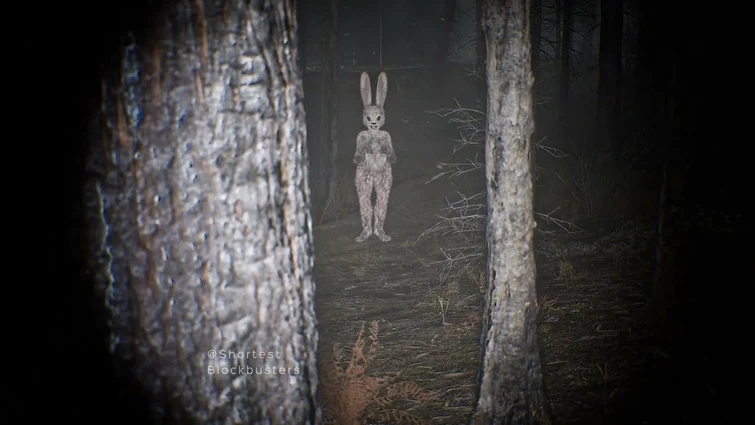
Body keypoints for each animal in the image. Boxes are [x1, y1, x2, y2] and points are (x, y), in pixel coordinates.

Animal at [353, 71, 397, 243]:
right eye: (367, 117)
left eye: (379, 117)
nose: (372, 124)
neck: (373, 134)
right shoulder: (360, 138)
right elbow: (358, 155)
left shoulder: (387, 137)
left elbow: (391, 155)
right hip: (363, 180)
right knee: (365, 204)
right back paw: (365, 234)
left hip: (383, 180)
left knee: (380, 205)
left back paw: (380, 233)